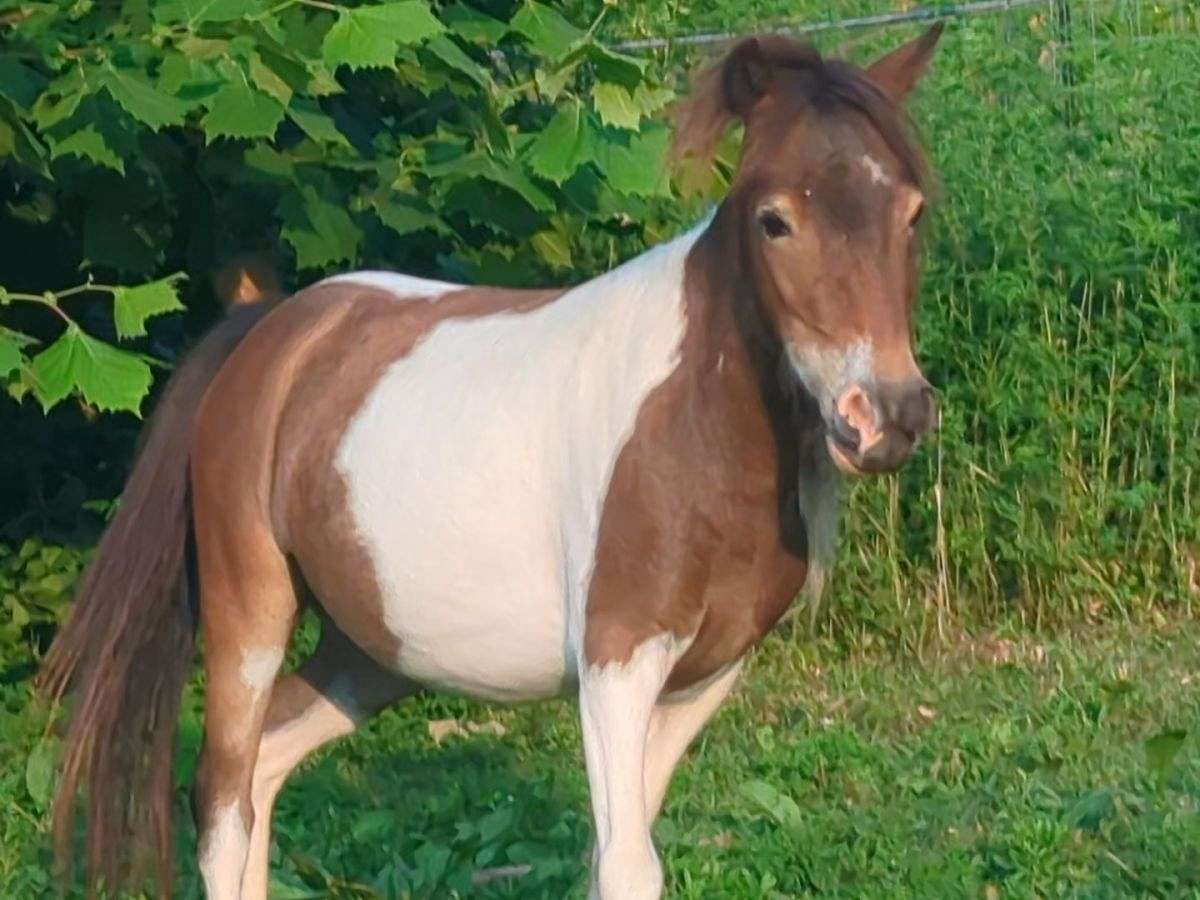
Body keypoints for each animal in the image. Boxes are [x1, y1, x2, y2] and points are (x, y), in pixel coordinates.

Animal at [40, 25, 943, 900]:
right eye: (774, 220)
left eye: (911, 214)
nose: (885, 417)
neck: (693, 427)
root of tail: (270, 331)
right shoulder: (616, 664)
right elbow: (629, 865)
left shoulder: (703, 677)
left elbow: (614, 855)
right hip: (249, 614)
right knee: (224, 799)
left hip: (371, 651)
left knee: (266, 763)